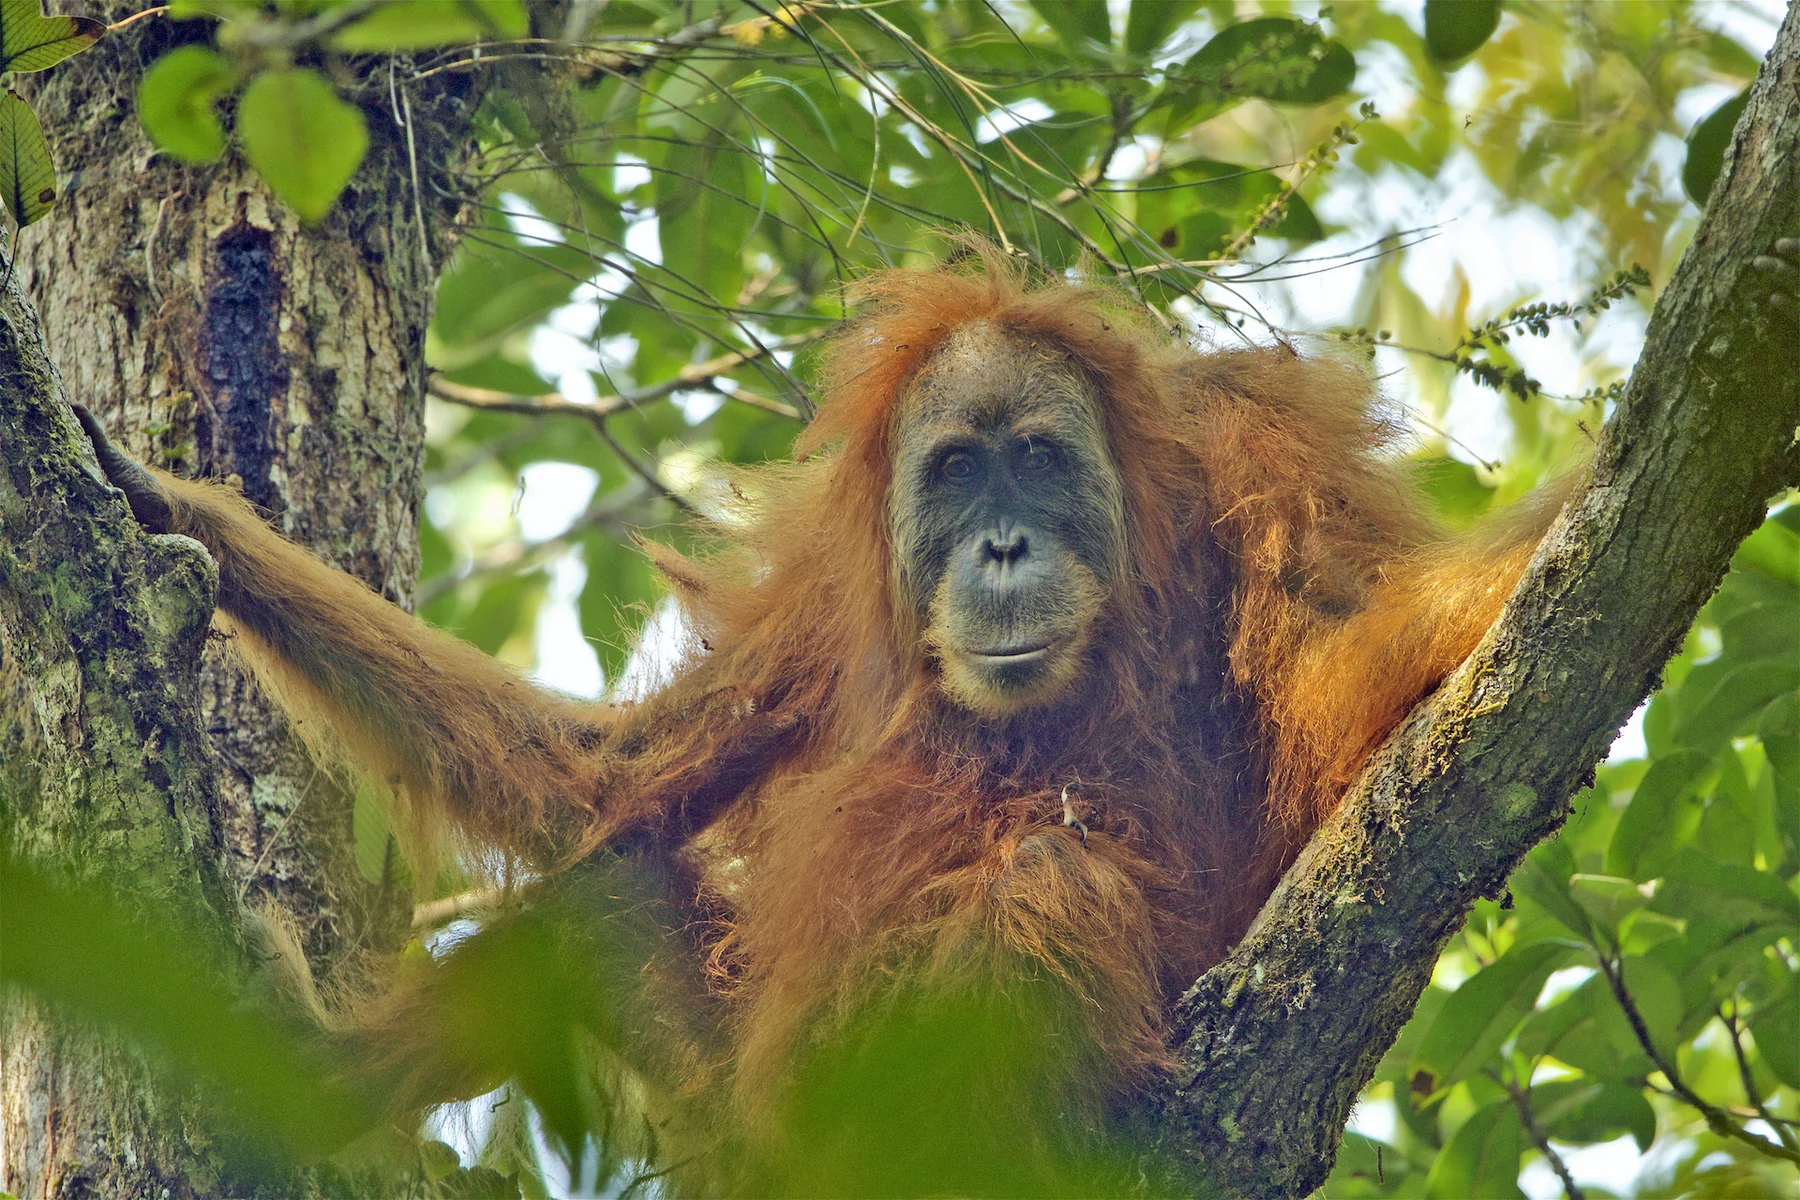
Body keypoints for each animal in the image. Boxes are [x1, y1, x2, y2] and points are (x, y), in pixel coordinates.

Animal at [69, 237, 1800, 1192]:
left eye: (1036, 460)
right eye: (957, 473)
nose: (1006, 547)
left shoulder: (1265, 482)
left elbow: (1352, 678)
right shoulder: (824, 621)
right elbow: (613, 778)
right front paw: (186, 516)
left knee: (1051, 873)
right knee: (610, 901)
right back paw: (305, 1069)